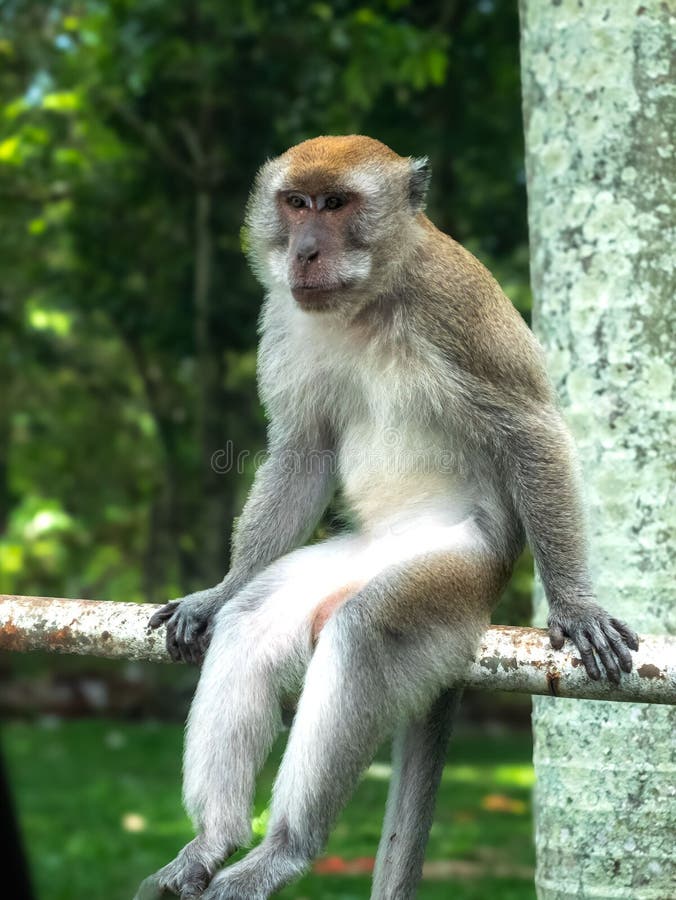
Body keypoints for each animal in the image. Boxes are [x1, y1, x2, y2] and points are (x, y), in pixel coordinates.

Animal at [135, 135, 639, 900]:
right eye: (297, 203)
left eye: (337, 204)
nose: (305, 250)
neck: (369, 299)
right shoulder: (285, 317)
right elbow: (303, 449)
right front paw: (217, 590)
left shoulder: (456, 303)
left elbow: (530, 428)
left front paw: (578, 607)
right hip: (355, 554)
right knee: (255, 622)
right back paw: (214, 841)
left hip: (462, 565)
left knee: (368, 632)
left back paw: (286, 849)